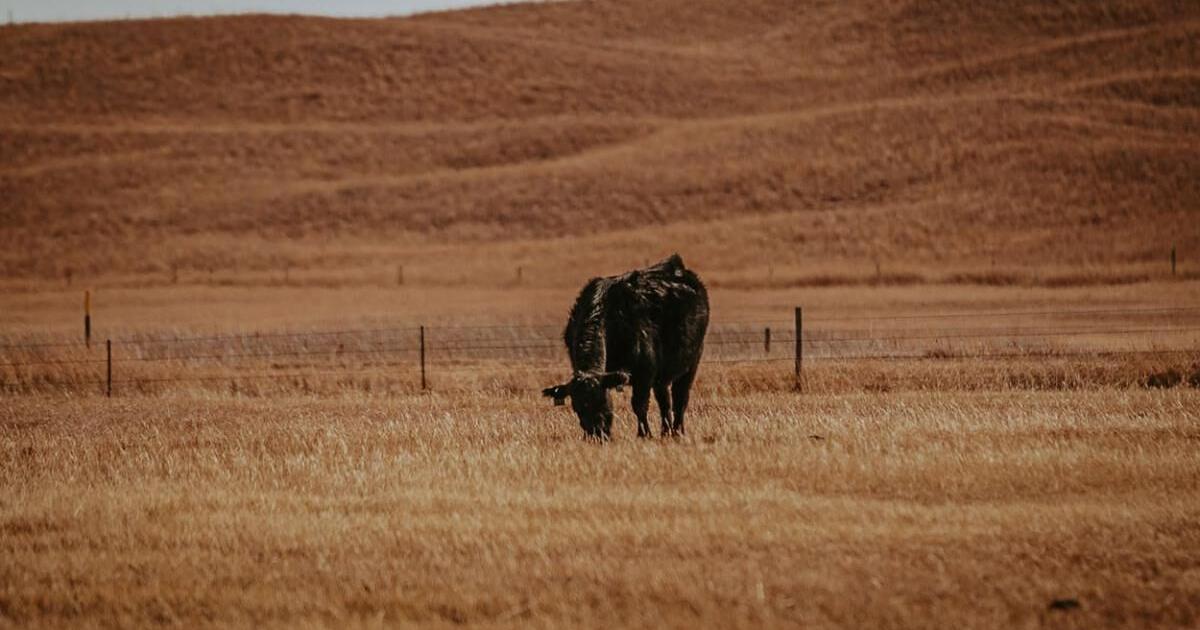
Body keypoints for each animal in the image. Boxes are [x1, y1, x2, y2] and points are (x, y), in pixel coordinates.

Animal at [542, 254, 709, 439]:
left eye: (601, 400)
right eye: (577, 407)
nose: (596, 433)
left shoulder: (644, 373)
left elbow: (639, 405)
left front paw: (644, 434)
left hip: (692, 361)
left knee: (680, 398)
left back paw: (678, 431)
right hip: (662, 376)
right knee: (664, 401)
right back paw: (666, 432)